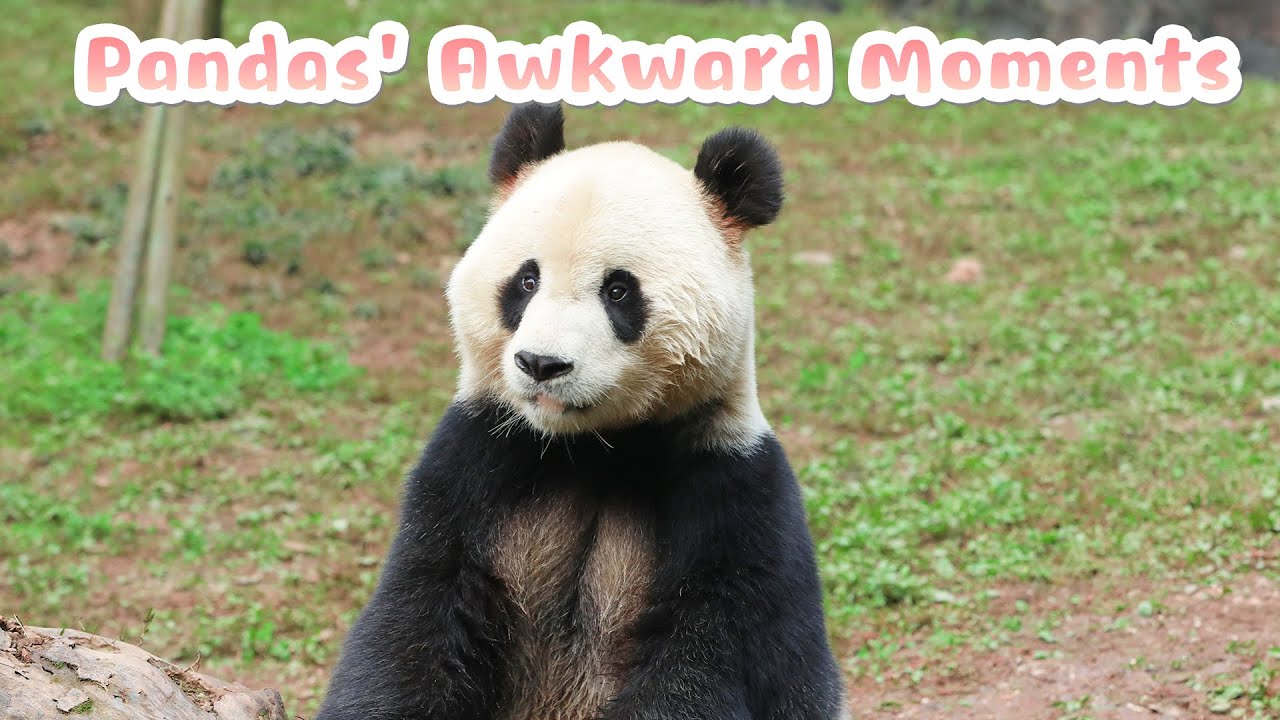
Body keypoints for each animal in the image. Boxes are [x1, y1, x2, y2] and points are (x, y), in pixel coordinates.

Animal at [315, 102, 847, 720]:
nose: (541, 364)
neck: (593, 446)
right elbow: (412, 632)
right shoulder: (475, 466)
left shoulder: (732, 492)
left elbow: (704, 663)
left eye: (618, 291)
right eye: (526, 280)